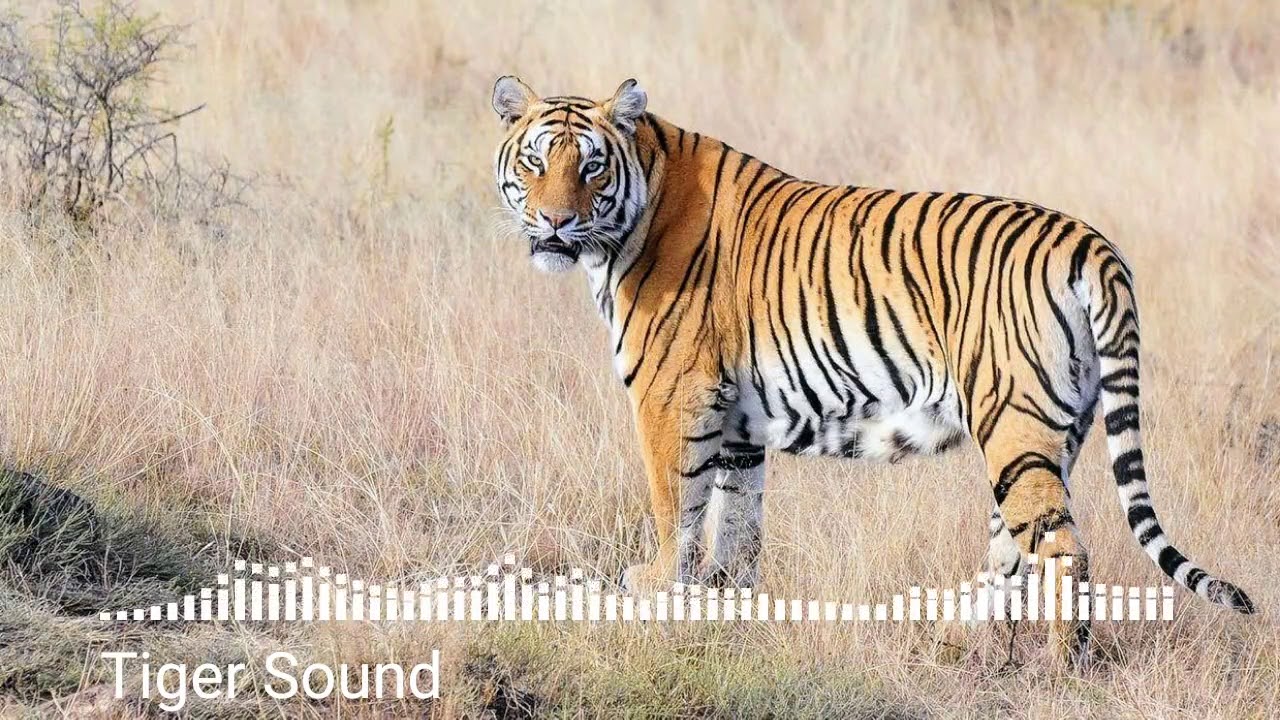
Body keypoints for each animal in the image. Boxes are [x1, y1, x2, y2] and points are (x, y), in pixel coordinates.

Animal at [489, 75, 1256, 664]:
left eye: (590, 167)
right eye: (535, 163)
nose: (554, 223)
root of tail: (1089, 241)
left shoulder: (672, 395)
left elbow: (675, 501)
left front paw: (654, 590)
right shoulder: (736, 422)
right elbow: (737, 524)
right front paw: (725, 610)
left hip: (1014, 423)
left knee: (1064, 549)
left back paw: (1066, 665)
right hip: (1049, 431)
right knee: (1015, 548)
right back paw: (961, 639)